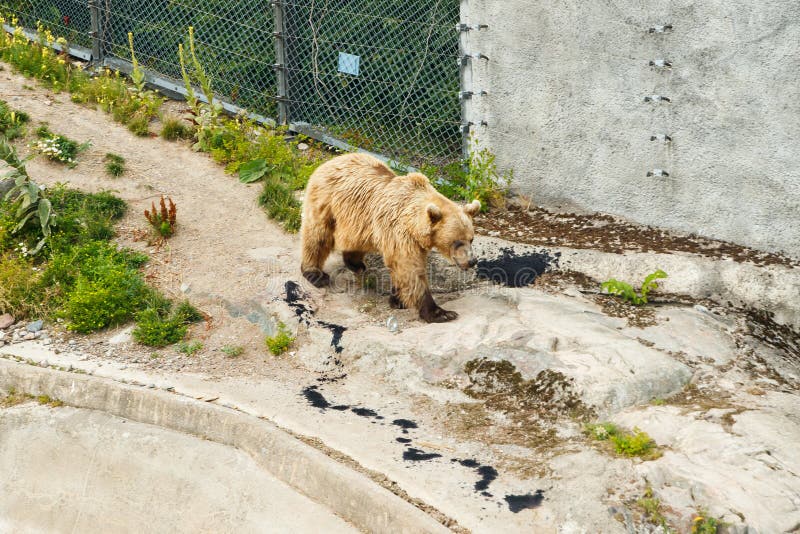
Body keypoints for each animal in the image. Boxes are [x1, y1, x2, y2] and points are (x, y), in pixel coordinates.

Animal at [300, 152, 481, 323]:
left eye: (471, 239)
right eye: (456, 241)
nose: (472, 261)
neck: (413, 222)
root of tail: (331, 161)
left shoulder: (411, 239)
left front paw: (397, 299)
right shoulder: (399, 232)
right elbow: (408, 268)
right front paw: (440, 313)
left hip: (359, 221)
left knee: (355, 240)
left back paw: (356, 264)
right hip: (327, 201)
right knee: (318, 235)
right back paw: (315, 274)